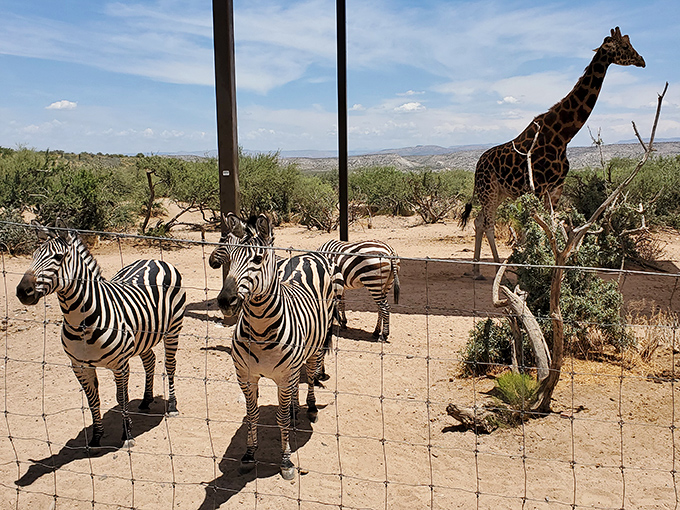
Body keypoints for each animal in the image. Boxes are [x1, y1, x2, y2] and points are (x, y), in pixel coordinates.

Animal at [15, 220, 186, 448]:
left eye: (58, 257)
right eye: (33, 255)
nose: (22, 291)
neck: (81, 323)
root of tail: (154, 259)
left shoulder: (120, 364)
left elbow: (121, 398)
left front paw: (127, 435)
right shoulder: (79, 366)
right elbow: (92, 400)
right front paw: (96, 436)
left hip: (173, 329)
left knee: (170, 365)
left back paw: (173, 406)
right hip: (144, 335)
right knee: (150, 360)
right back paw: (146, 399)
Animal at [208, 213, 337, 480]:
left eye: (257, 259)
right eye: (230, 257)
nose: (225, 301)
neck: (260, 330)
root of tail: (304, 256)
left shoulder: (284, 376)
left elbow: (280, 418)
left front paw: (286, 461)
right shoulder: (246, 376)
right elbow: (252, 415)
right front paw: (249, 455)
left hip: (316, 345)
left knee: (310, 375)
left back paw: (310, 408)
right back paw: (296, 409)